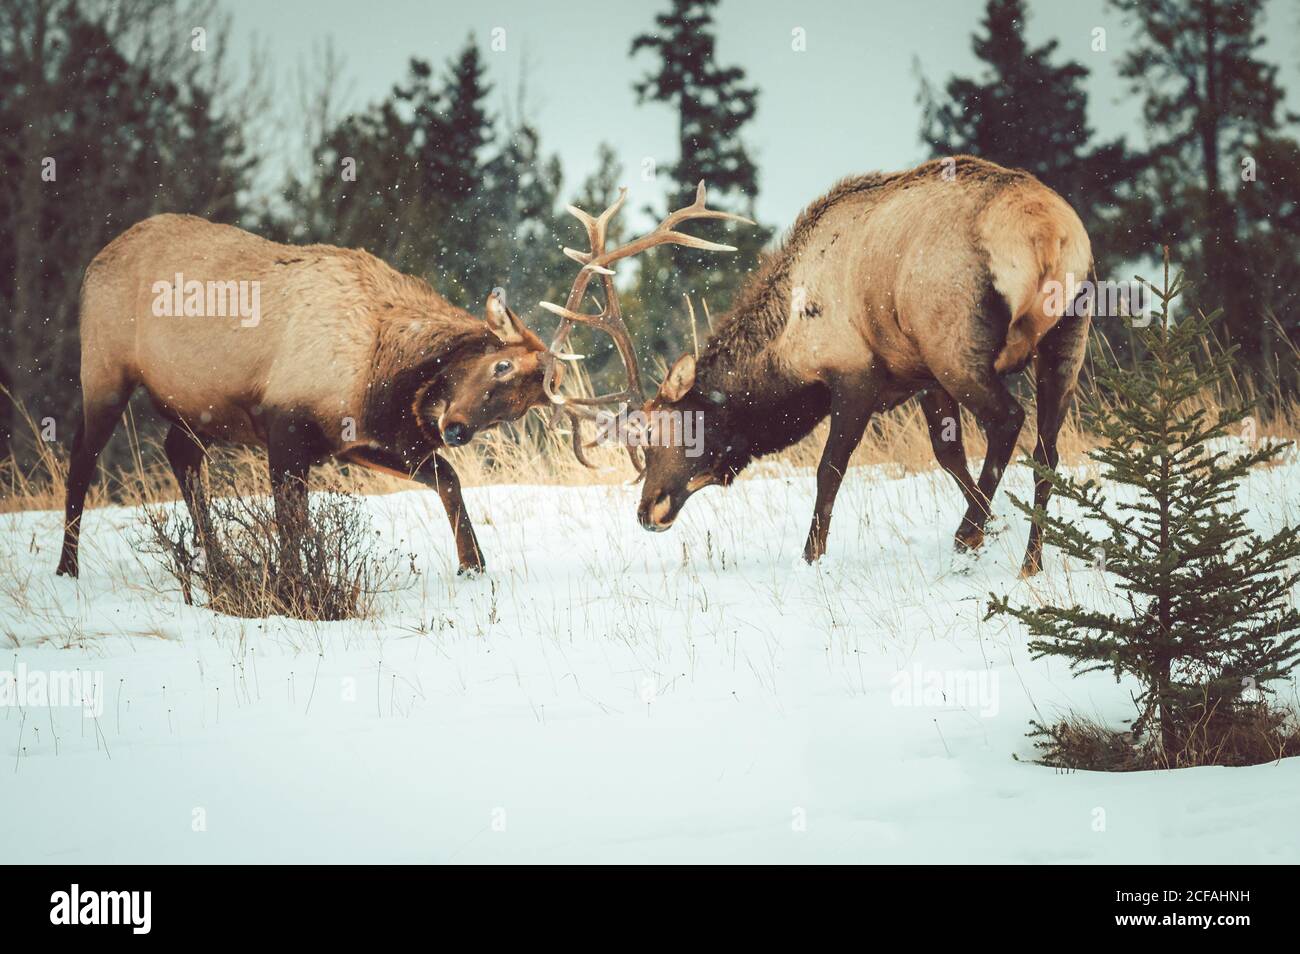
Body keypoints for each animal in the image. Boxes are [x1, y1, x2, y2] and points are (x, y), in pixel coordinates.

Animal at [618, 156, 1094, 576]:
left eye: (655, 432)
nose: (646, 511)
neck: (788, 347)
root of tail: (1049, 233)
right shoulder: (923, 375)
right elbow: (949, 456)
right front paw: (994, 527)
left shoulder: (855, 374)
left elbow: (830, 469)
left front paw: (811, 557)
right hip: (1067, 334)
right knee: (1046, 450)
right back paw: (1029, 564)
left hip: (956, 346)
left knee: (1009, 420)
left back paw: (966, 536)